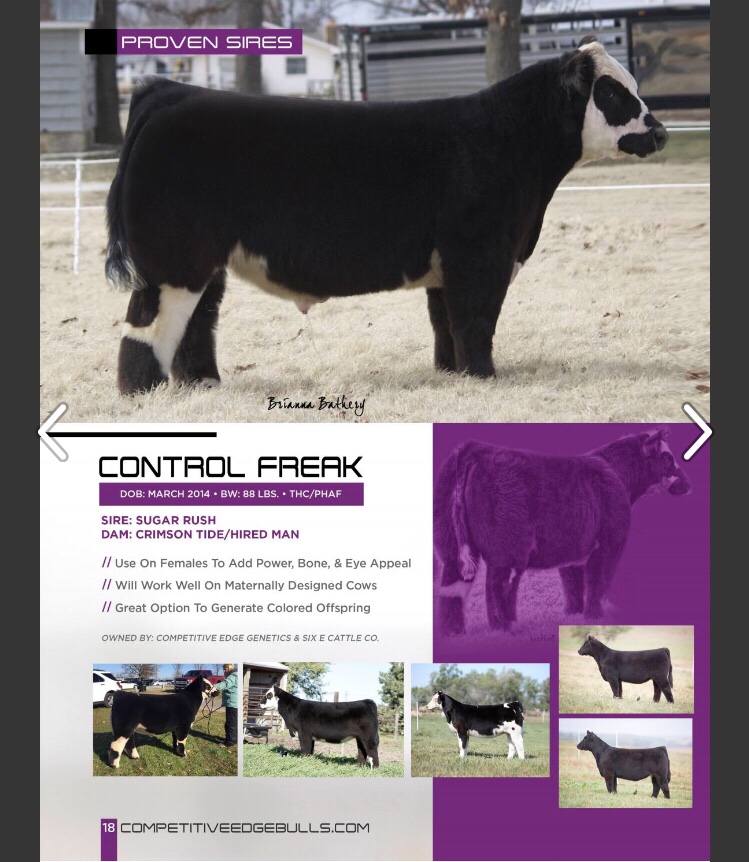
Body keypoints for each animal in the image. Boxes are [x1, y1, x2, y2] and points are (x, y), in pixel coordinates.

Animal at [105, 37, 668, 395]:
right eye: (612, 92)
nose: (660, 132)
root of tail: (171, 92)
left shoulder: (448, 265)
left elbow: (446, 323)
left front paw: (452, 373)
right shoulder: (480, 255)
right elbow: (476, 319)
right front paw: (484, 376)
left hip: (205, 262)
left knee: (197, 324)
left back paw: (203, 383)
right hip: (172, 263)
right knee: (147, 326)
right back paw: (144, 393)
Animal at [434, 428, 690, 635]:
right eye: (666, 458)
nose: (687, 483)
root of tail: (475, 448)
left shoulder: (574, 550)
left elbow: (573, 585)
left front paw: (574, 615)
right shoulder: (610, 544)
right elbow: (599, 583)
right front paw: (596, 617)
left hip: (450, 549)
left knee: (451, 590)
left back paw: (453, 633)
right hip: (508, 552)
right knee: (498, 586)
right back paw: (506, 629)